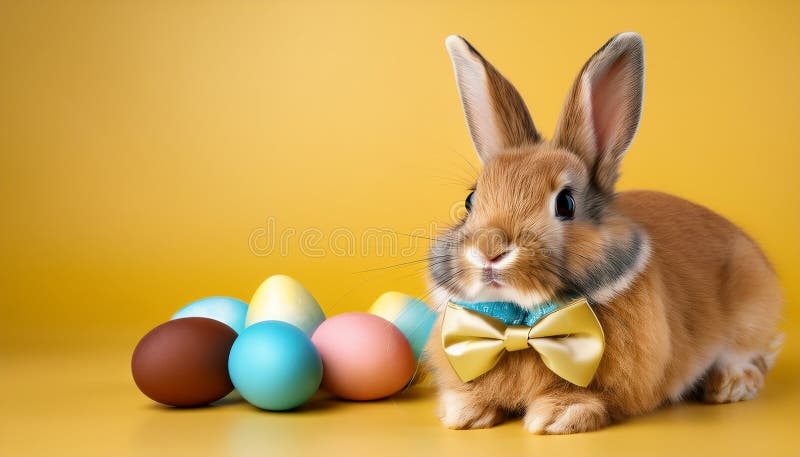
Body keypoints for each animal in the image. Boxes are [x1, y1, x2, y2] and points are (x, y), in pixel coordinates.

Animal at [424, 32, 784, 434]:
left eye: (565, 203)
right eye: (471, 200)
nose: (489, 249)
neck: (519, 324)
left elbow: (587, 397)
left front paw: (557, 417)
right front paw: (463, 413)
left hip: (751, 310)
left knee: (751, 357)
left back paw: (729, 386)